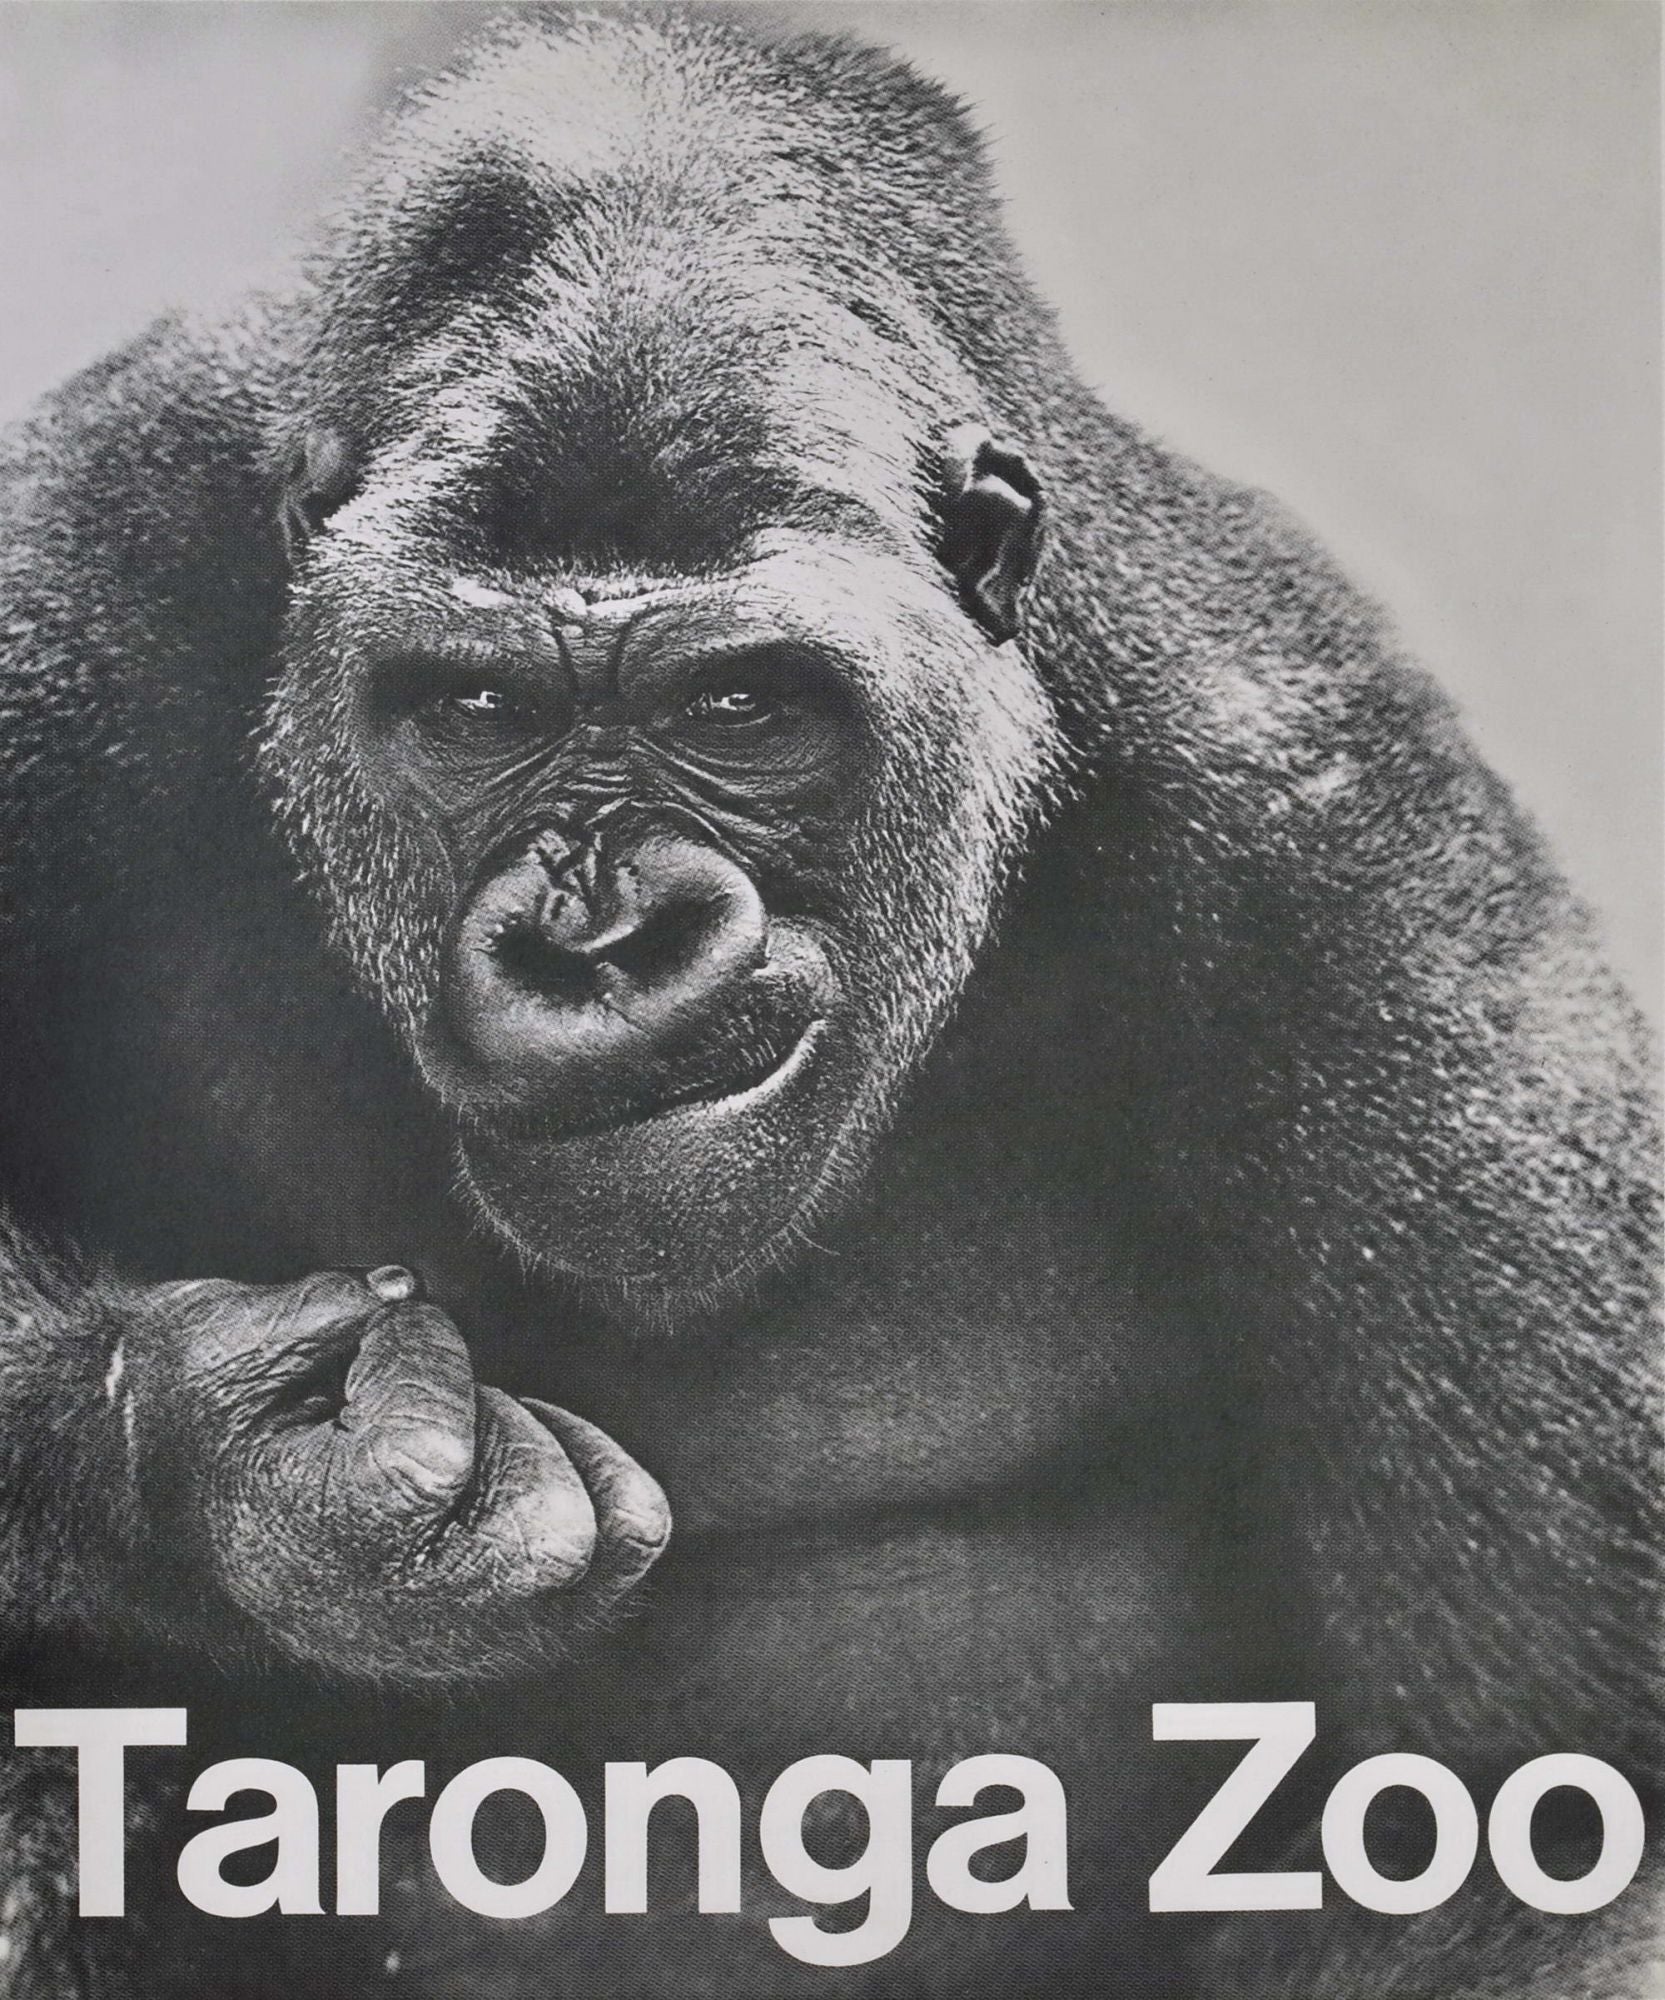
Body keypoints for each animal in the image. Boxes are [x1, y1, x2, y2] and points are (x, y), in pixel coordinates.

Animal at [0, 7, 1655, 1996]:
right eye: (475, 711)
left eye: (740, 710)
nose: (600, 935)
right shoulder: (79, 568)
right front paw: (240, 1460)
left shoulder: (1351, 846)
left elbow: (1511, 1851)